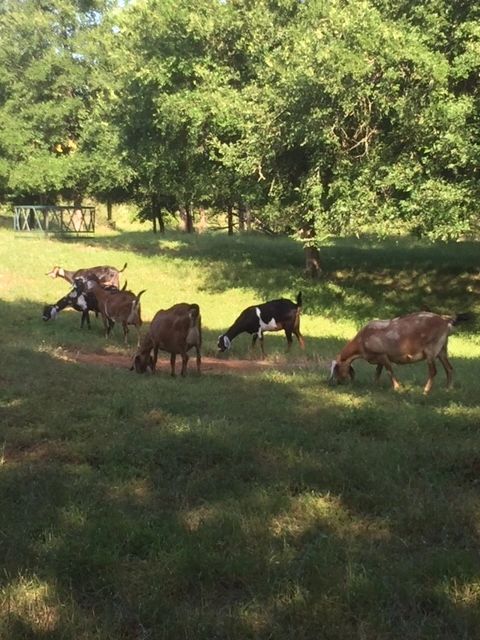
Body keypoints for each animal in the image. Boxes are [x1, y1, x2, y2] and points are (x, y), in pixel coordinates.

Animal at [330, 311, 472, 394]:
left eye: (336, 369)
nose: (337, 383)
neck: (361, 342)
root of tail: (446, 320)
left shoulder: (382, 355)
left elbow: (389, 371)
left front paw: (397, 388)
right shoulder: (379, 357)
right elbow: (378, 371)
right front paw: (375, 385)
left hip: (431, 349)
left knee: (433, 371)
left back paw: (425, 391)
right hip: (442, 349)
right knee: (449, 368)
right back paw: (448, 389)